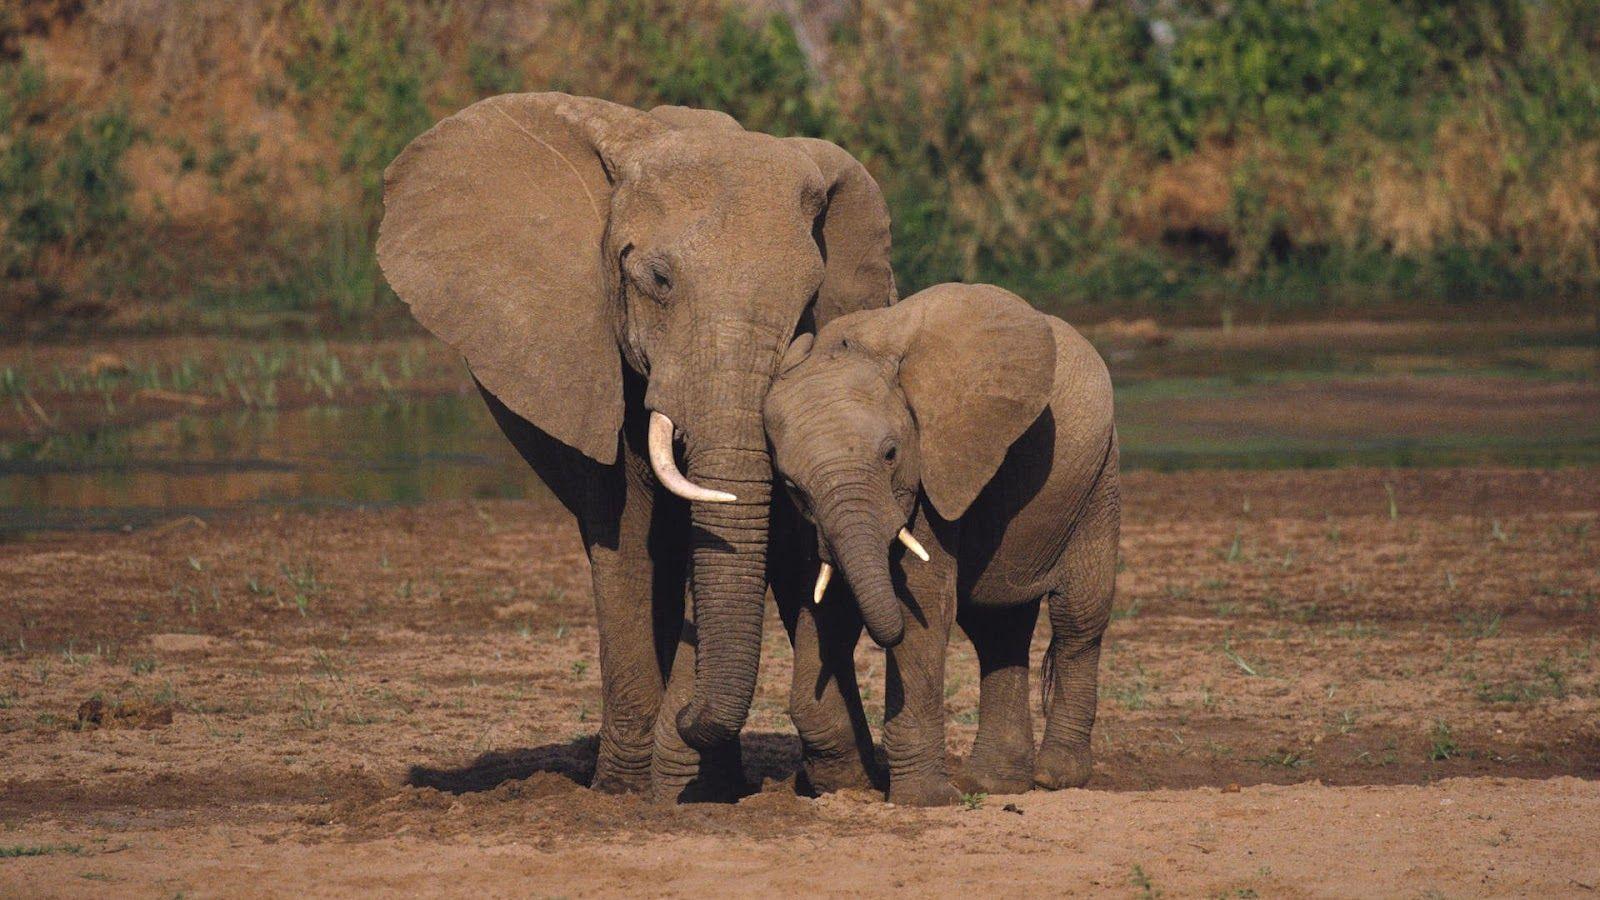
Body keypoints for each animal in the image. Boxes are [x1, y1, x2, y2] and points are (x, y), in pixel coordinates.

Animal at [376, 93, 896, 801]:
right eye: (658, 280)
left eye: (808, 302)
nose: (688, 714)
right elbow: (623, 530)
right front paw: (630, 790)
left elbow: (781, 535)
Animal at [761, 283, 1121, 806]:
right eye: (791, 485)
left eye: (891, 454)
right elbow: (827, 603)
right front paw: (845, 786)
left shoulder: (934, 469)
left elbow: (923, 605)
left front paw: (924, 800)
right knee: (998, 629)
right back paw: (995, 784)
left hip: (1098, 480)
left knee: (1078, 618)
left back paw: (1054, 778)